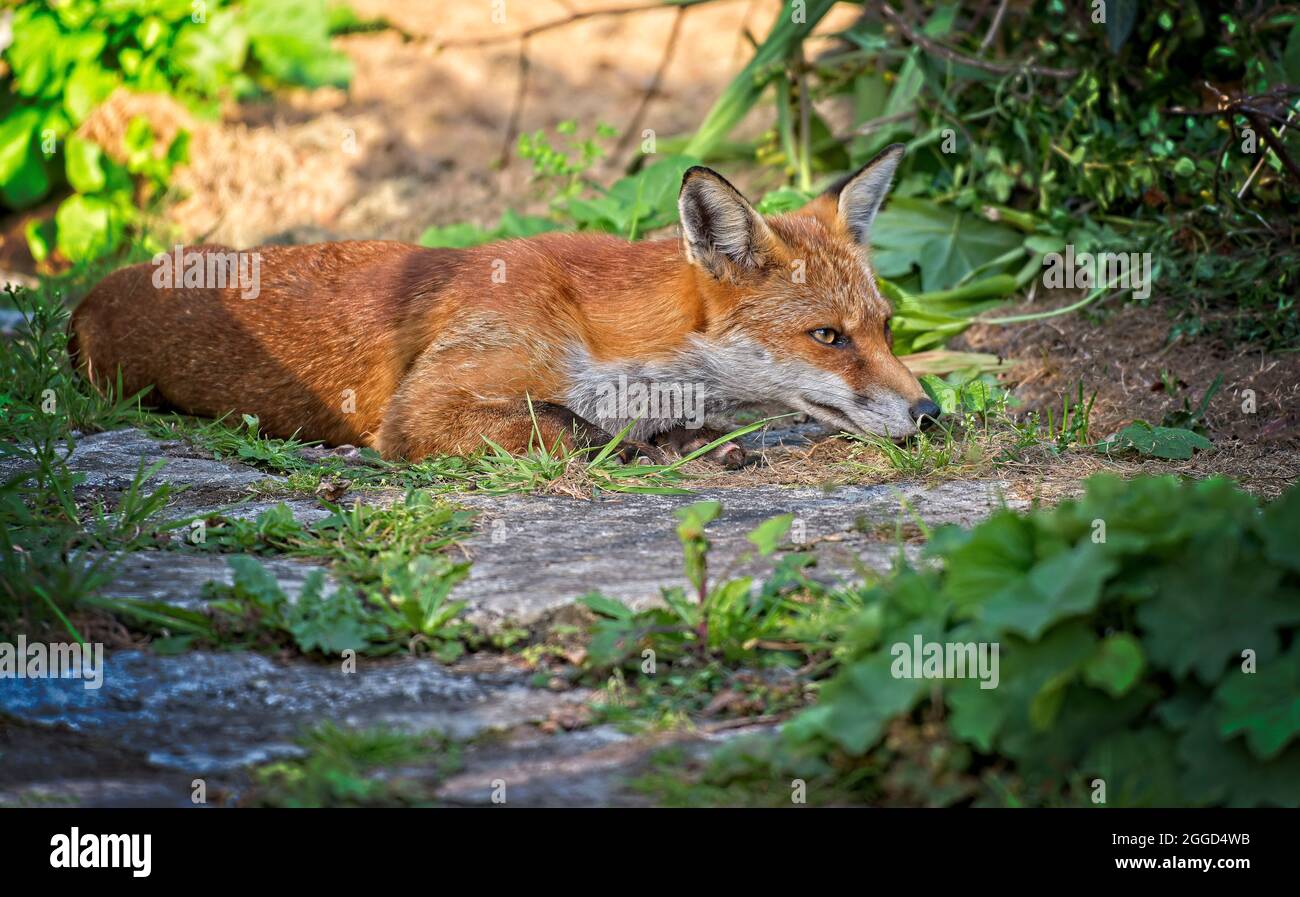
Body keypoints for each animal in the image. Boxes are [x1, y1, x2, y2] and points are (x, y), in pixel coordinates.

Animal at [70, 144, 939, 467]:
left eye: (887, 328)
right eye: (827, 336)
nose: (931, 413)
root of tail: (89, 295)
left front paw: (691, 439)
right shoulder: (427, 407)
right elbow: (568, 424)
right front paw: (638, 447)